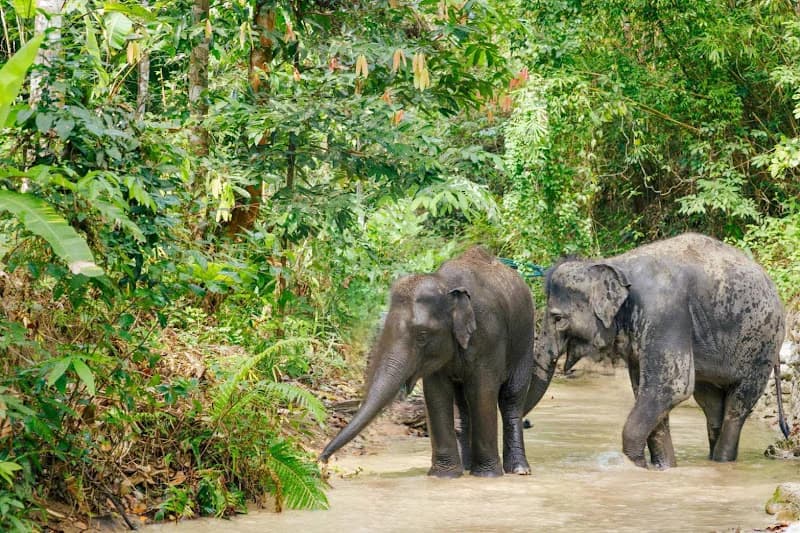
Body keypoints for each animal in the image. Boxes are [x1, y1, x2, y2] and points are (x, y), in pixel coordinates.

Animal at [319, 246, 557, 477]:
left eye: (422, 335)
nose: (322, 460)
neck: (446, 284)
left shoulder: (490, 337)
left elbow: (482, 392)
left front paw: (487, 476)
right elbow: (436, 394)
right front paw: (443, 476)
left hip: (525, 339)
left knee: (511, 398)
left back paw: (519, 470)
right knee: (461, 403)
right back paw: (466, 467)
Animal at [538, 232, 789, 469]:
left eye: (558, 318)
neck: (615, 264)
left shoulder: (663, 313)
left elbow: (671, 387)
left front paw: (637, 466)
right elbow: (647, 391)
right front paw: (664, 468)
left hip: (762, 347)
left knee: (737, 405)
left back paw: (722, 461)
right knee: (710, 404)